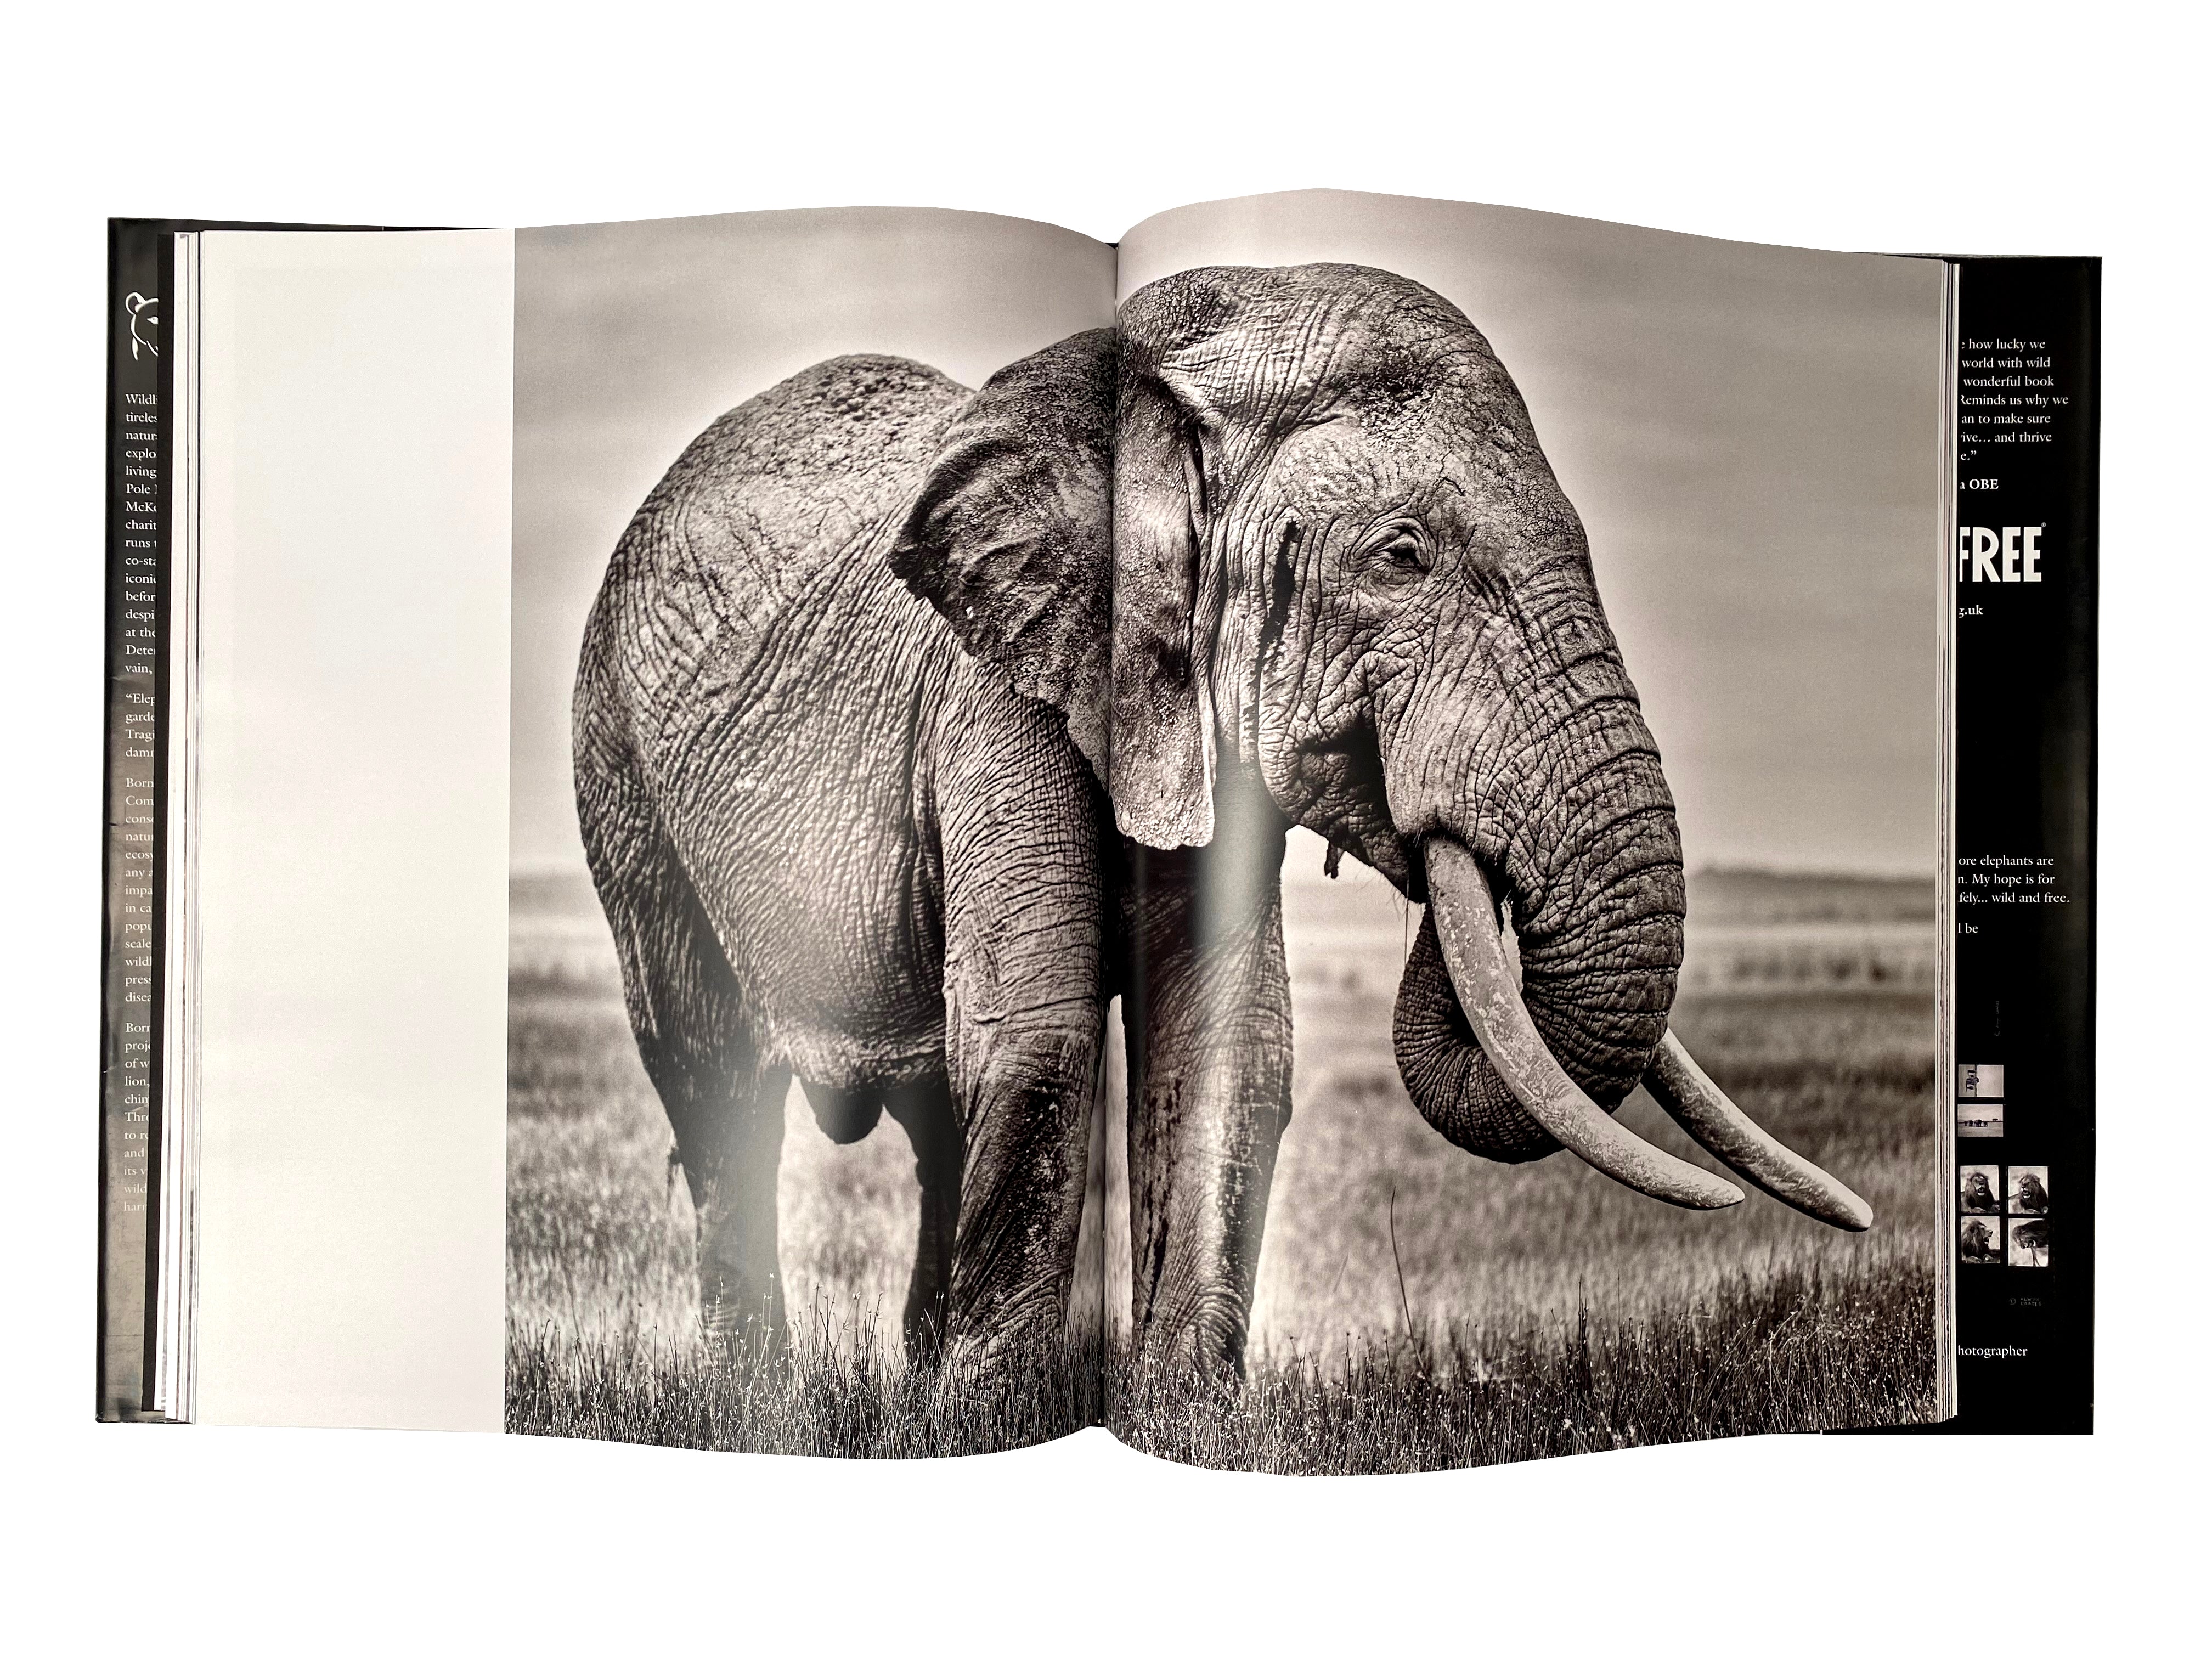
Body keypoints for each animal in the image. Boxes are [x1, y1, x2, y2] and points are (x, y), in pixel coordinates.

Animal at [574, 262, 1872, 1377]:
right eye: (1400, 556)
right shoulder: (998, 692)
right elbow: (1036, 1047)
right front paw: (995, 1415)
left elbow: (1227, 1049)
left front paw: (1178, 1412)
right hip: (621, 772)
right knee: (710, 1073)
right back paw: (765, 1401)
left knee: (931, 1104)